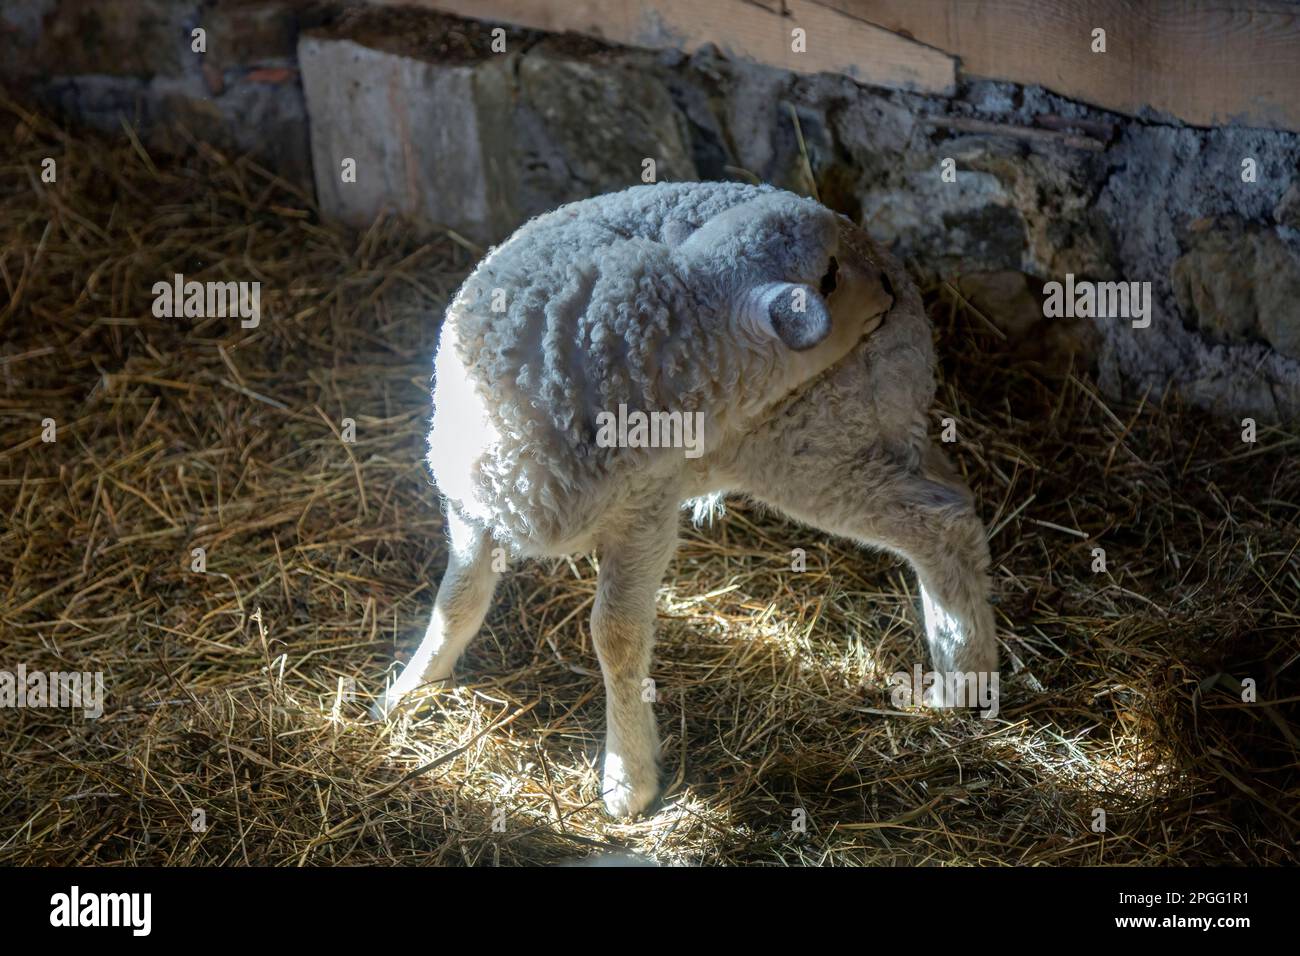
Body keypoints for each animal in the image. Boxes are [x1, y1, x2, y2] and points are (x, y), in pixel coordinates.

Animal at [372, 181, 998, 819]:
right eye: (828, 276)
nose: (884, 291)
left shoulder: (644, 511)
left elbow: (616, 635)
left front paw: (627, 778)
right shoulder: (475, 506)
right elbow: (456, 603)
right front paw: (407, 691)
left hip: (815, 445)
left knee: (944, 523)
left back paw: (963, 677)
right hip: (872, 431)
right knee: (947, 491)